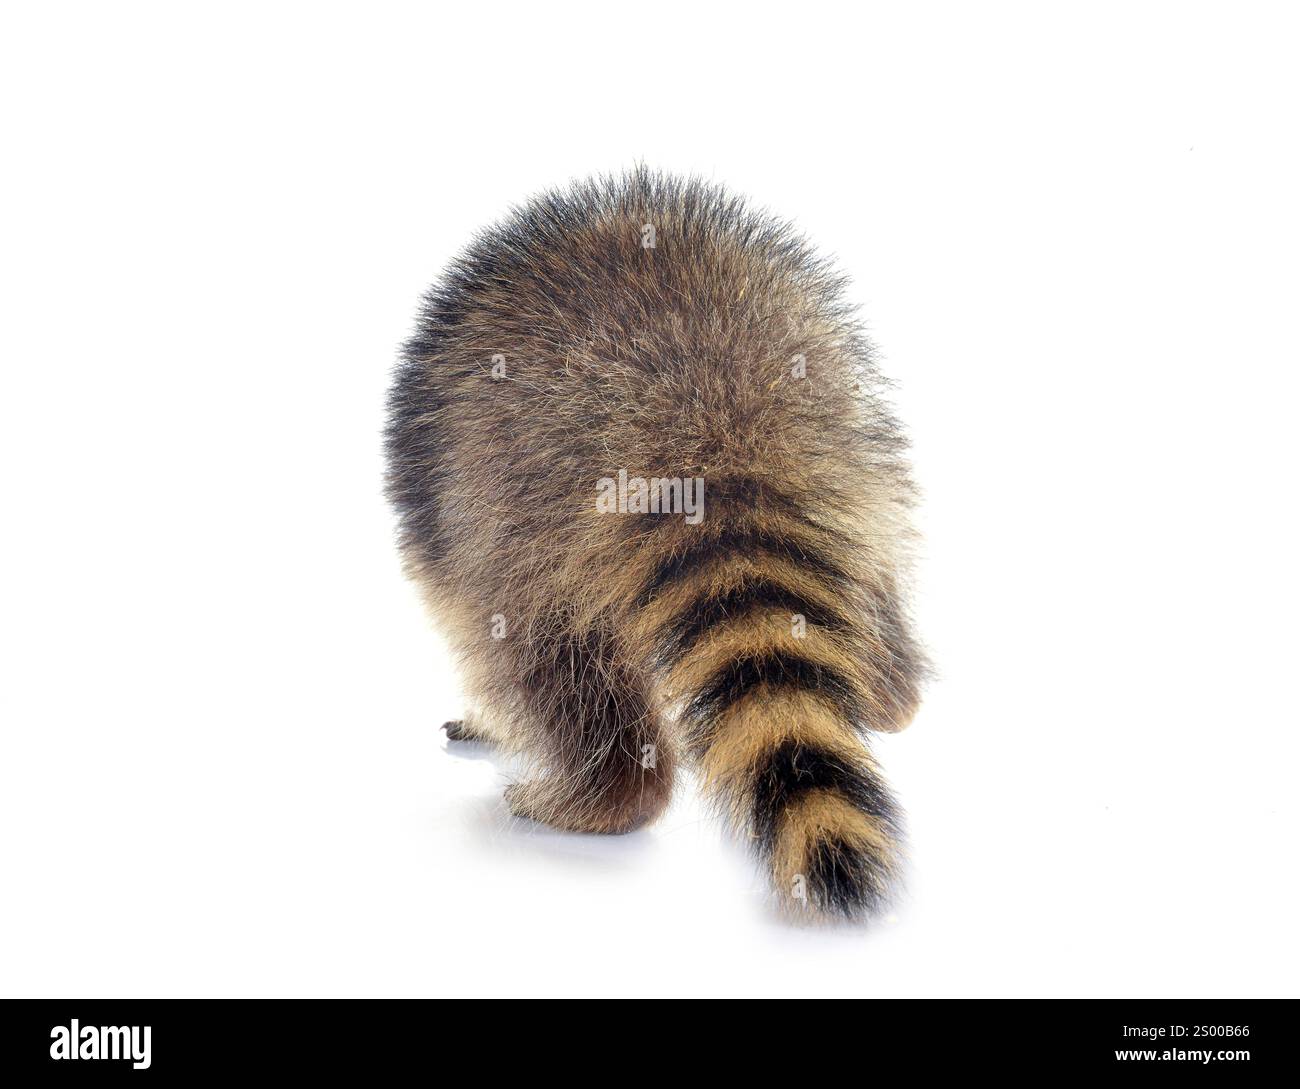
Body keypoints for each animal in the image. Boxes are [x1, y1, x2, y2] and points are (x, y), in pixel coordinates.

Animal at [385, 169, 926, 919]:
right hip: (853, 444)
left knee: (548, 664)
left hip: (504, 517)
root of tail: (701, 408)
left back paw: (606, 792)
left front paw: (492, 723)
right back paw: (889, 689)